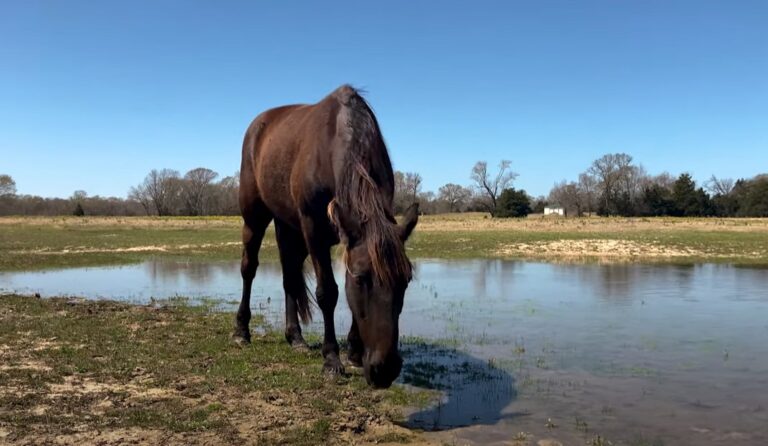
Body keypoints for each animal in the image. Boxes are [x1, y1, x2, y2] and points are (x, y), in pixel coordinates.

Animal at [234, 85, 419, 388]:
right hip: (255, 219)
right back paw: (241, 330)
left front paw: (354, 351)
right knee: (248, 269)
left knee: (290, 276)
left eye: (406, 280)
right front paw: (332, 359)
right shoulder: (315, 232)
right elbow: (327, 293)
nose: (386, 369)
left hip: (289, 228)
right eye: (361, 279)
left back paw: (295, 337)